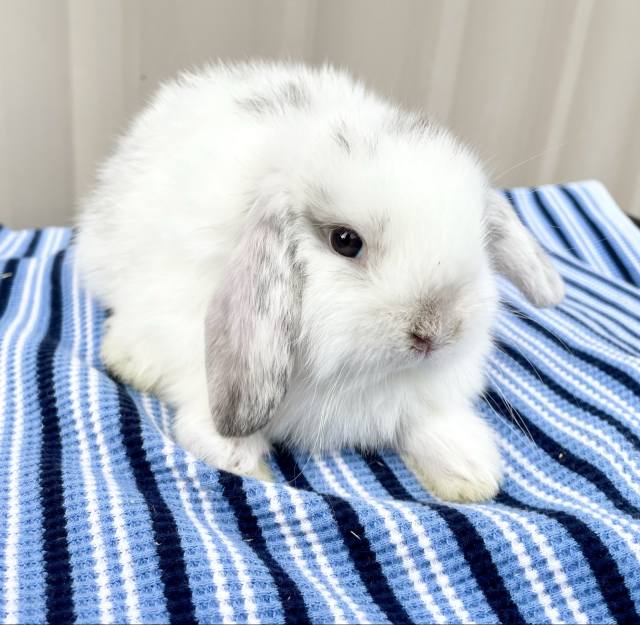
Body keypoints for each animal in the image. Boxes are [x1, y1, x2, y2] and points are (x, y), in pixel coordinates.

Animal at [75, 60, 564, 502]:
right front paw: (238, 457)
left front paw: (470, 471)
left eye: (478, 236)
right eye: (345, 241)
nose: (436, 331)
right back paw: (127, 359)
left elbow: (432, 423)